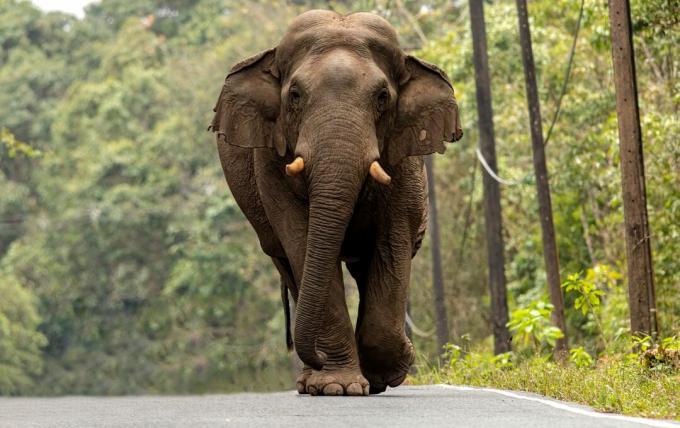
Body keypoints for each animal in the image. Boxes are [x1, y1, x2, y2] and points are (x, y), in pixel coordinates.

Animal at [207, 10, 462, 396]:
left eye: (382, 97)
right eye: (295, 95)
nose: (318, 358)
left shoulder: (403, 161)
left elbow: (392, 242)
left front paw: (391, 370)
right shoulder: (270, 161)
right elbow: (300, 238)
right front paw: (338, 387)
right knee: (292, 267)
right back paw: (312, 380)